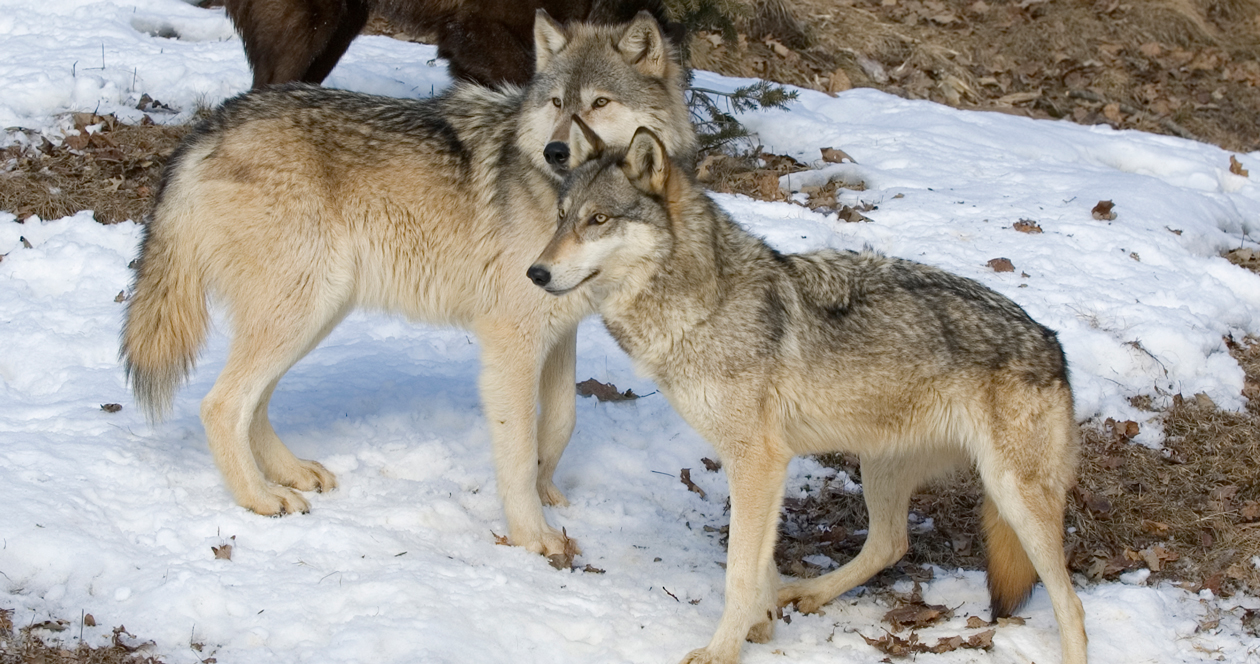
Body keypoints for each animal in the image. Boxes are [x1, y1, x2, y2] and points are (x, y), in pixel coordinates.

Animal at [120, 12, 696, 558]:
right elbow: (516, 447)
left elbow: (560, 421)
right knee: (221, 406)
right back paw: (260, 498)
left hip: (313, 315)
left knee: (253, 403)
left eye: (598, 103)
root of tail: (211, 124)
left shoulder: (558, 332)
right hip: (300, 311)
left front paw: (547, 490)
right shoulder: (511, 339)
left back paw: (290, 474)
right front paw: (534, 536)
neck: (557, 196)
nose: (556, 150)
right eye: (556, 102)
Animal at [527, 123, 1088, 663]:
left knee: (1071, 603)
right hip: (880, 464)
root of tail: (1054, 345)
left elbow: (738, 572)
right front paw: (762, 624)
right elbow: (759, 566)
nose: (535, 272)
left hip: (1012, 494)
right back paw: (812, 592)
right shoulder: (761, 466)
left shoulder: (759, 462)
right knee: (891, 542)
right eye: (562, 217)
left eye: (599, 220)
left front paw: (721, 651)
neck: (706, 304)